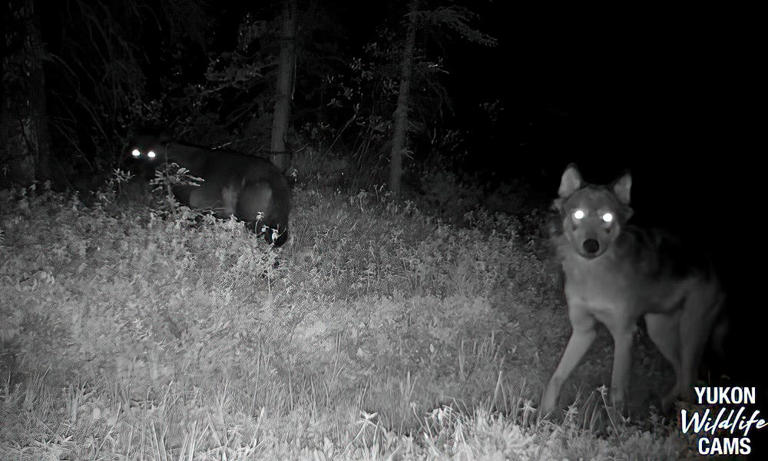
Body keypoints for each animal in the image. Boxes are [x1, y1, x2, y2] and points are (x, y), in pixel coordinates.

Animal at [129, 135, 291, 246]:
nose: (139, 170)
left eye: (152, 154)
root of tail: (277, 179)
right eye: (135, 152)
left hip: (254, 222)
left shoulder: (195, 207)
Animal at [540, 164, 725, 415]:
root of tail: (715, 266)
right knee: (681, 374)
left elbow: (617, 392)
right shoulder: (583, 330)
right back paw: (662, 408)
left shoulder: (624, 334)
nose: (591, 245)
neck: (593, 274)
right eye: (578, 214)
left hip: (690, 334)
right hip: (659, 332)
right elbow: (557, 377)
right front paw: (542, 414)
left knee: (691, 380)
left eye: (607, 217)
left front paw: (616, 424)